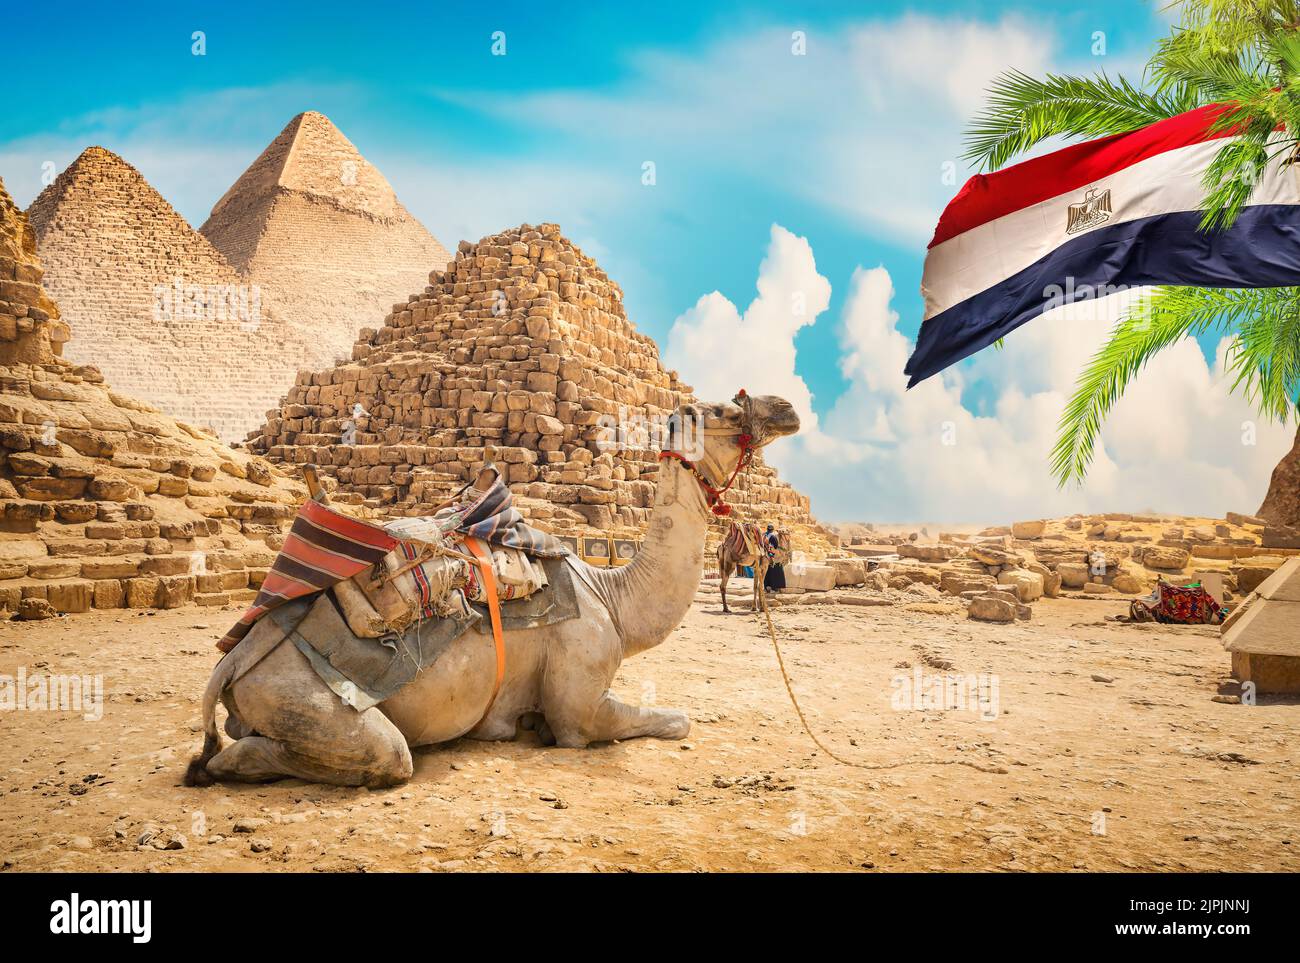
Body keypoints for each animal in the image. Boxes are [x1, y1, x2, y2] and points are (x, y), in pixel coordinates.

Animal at [184, 393, 800, 788]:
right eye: (724, 410)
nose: (787, 409)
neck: (615, 597)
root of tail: (232, 661)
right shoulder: (580, 701)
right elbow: (673, 720)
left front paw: (518, 726)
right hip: (301, 698)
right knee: (381, 755)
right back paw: (213, 766)